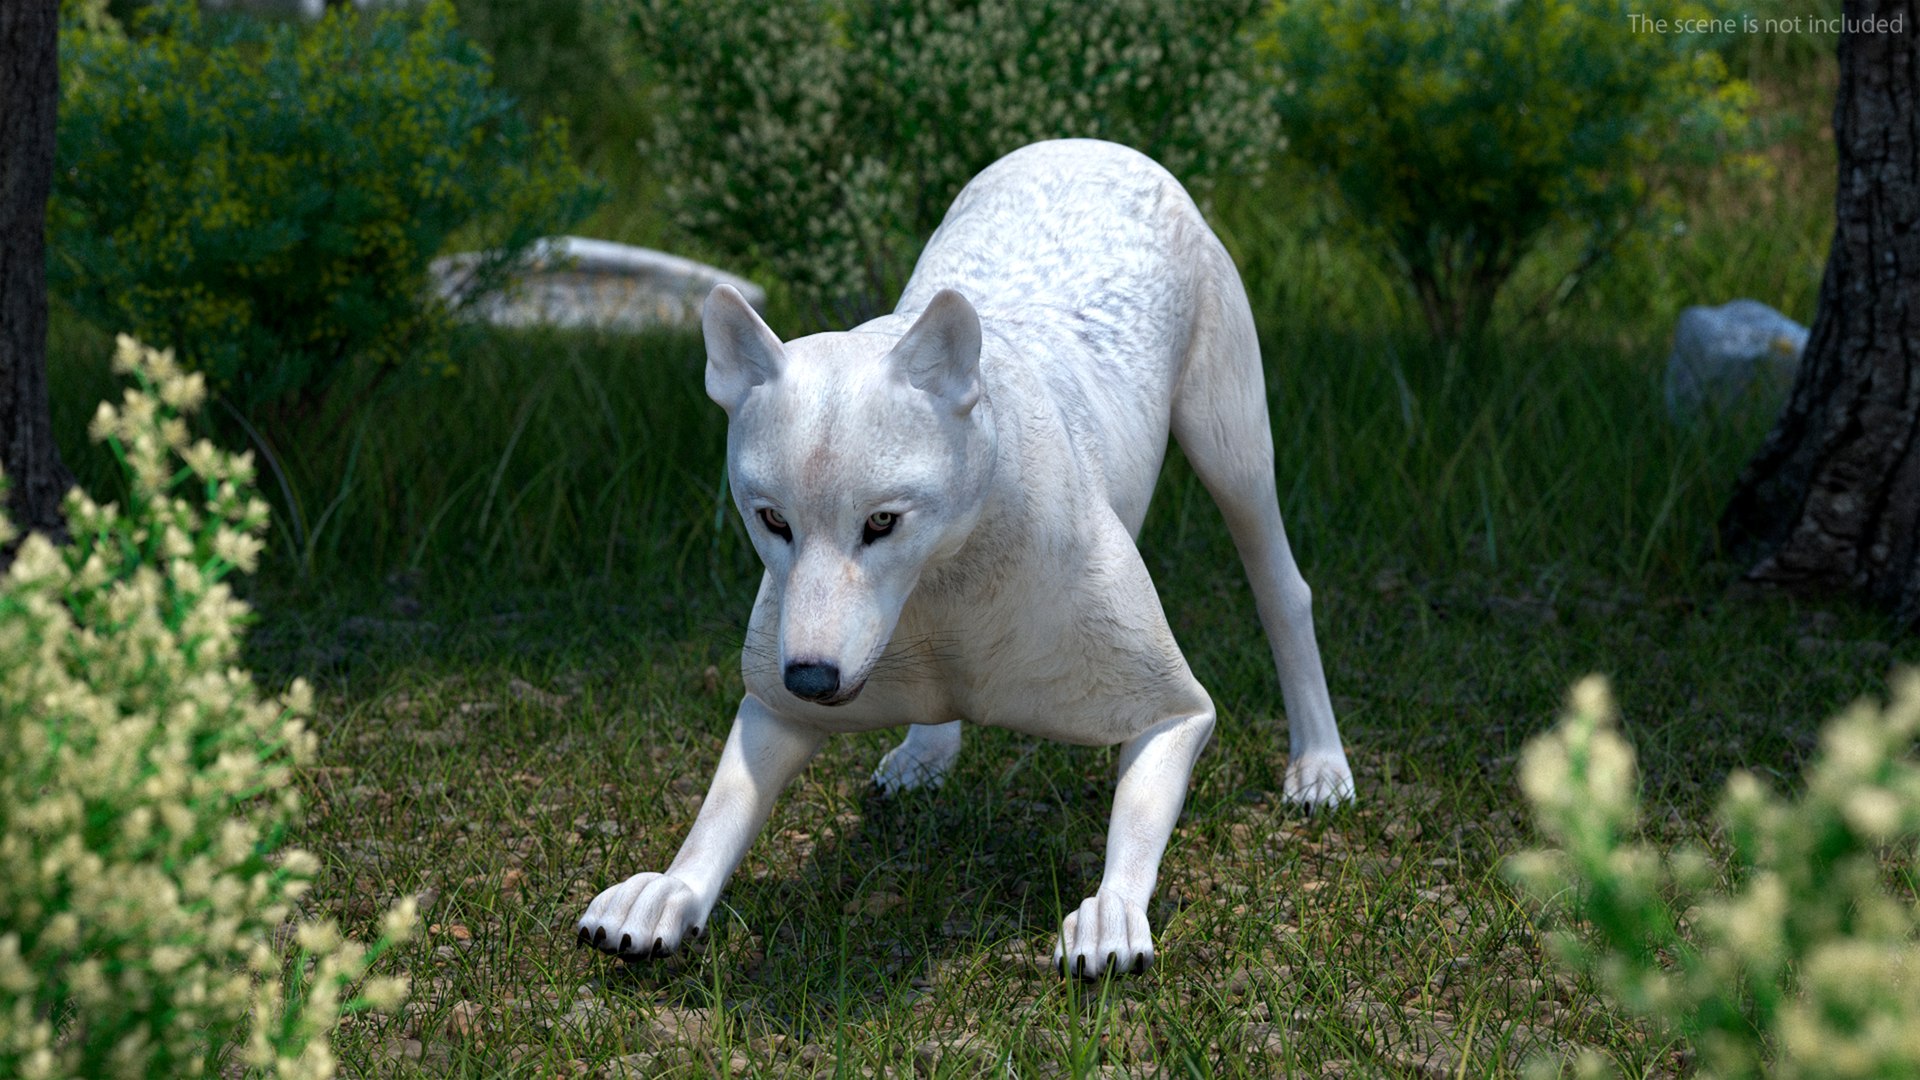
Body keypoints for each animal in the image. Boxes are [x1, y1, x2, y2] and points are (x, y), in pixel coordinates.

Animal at [577, 139, 1353, 978]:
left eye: (882, 522)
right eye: (773, 520)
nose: (812, 678)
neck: (945, 587)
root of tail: (1086, 144)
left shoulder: (1176, 711)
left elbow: (1141, 815)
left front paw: (1111, 912)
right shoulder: (775, 707)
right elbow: (721, 812)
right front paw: (667, 892)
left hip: (1233, 448)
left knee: (1284, 588)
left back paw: (1319, 765)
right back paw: (924, 754)